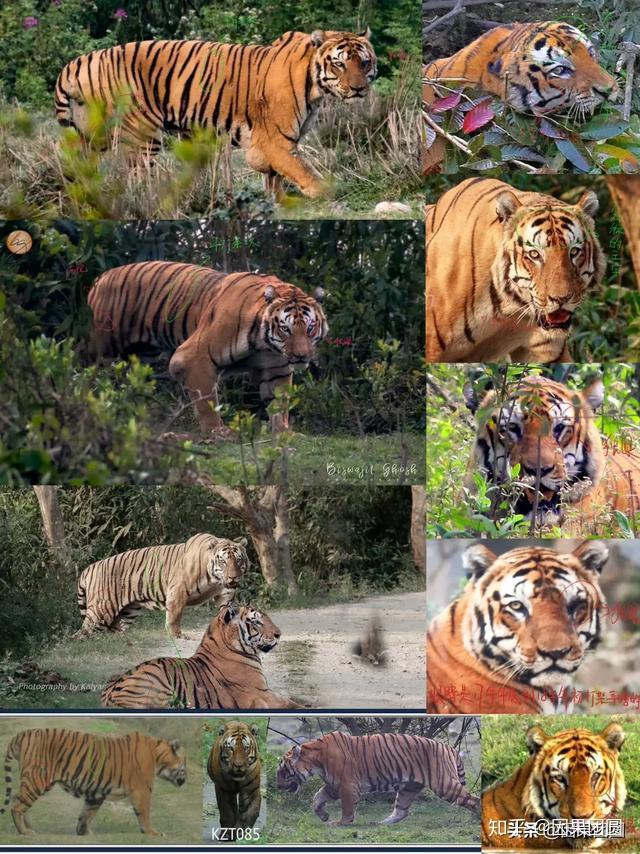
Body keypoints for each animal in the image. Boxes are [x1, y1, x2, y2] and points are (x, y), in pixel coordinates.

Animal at [0, 728, 186, 836]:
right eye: (184, 766)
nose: (185, 781)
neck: (158, 757)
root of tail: (22, 734)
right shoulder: (142, 790)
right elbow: (145, 813)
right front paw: (152, 832)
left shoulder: (96, 793)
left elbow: (87, 814)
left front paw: (83, 832)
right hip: (37, 779)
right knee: (17, 806)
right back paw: (25, 831)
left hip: (39, 782)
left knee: (17, 797)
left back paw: (29, 827)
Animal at [55, 30, 376, 198]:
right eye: (339, 64)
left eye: (364, 62)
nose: (359, 89)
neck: (315, 87)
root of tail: (79, 61)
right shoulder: (274, 141)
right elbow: (301, 171)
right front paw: (324, 193)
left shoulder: (283, 143)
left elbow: (275, 178)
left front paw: (280, 202)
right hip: (142, 135)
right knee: (137, 180)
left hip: (92, 135)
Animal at [76, 533, 247, 639]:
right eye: (223, 561)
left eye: (238, 560)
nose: (233, 577)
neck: (215, 579)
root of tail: (90, 567)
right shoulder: (178, 590)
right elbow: (175, 615)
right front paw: (177, 635)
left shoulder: (225, 594)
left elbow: (229, 612)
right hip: (101, 611)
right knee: (83, 632)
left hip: (126, 613)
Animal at [87, 261, 328, 437]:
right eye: (286, 329)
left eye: (310, 328)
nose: (301, 356)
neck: (266, 346)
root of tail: (101, 277)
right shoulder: (192, 357)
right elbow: (207, 400)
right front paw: (217, 432)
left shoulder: (277, 369)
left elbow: (280, 403)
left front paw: (283, 433)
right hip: (106, 350)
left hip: (140, 356)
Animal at [276, 731, 480, 826]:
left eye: (283, 771)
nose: (277, 786)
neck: (315, 761)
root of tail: (449, 748)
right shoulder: (333, 786)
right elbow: (316, 798)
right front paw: (324, 816)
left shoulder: (347, 785)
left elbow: (347, 807)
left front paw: (341, 822)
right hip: (409, 788)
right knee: (401, 811)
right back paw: (380, 823)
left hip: (445, 785)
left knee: (474, 799)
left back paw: (476, 819)